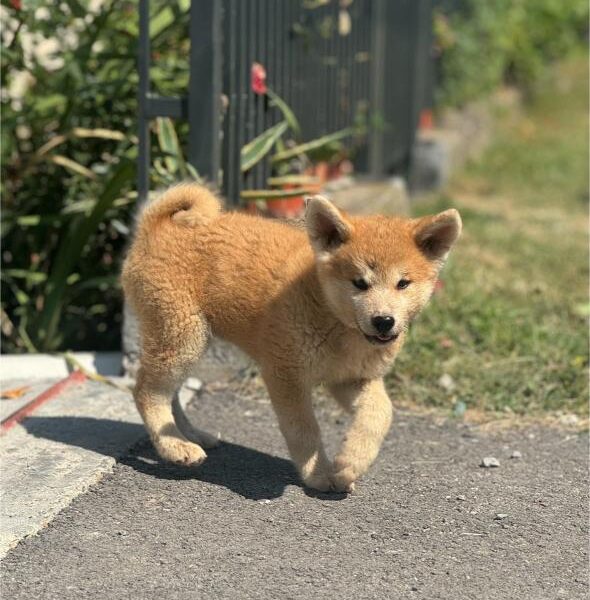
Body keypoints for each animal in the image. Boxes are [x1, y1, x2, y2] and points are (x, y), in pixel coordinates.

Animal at [122, 184, 464, 492]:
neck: (333, 320)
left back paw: (190, 435)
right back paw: (174, 446)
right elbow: (304, 429)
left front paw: (351, 461)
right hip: (181, 336)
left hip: (187, 341)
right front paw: (318, 474)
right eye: (359, 283)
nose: (383, 321)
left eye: (403, 283)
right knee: (147, 391)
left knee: (171, 393)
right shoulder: (284, 373)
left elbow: (380, 413)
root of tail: (155, 227)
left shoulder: (351, 379)